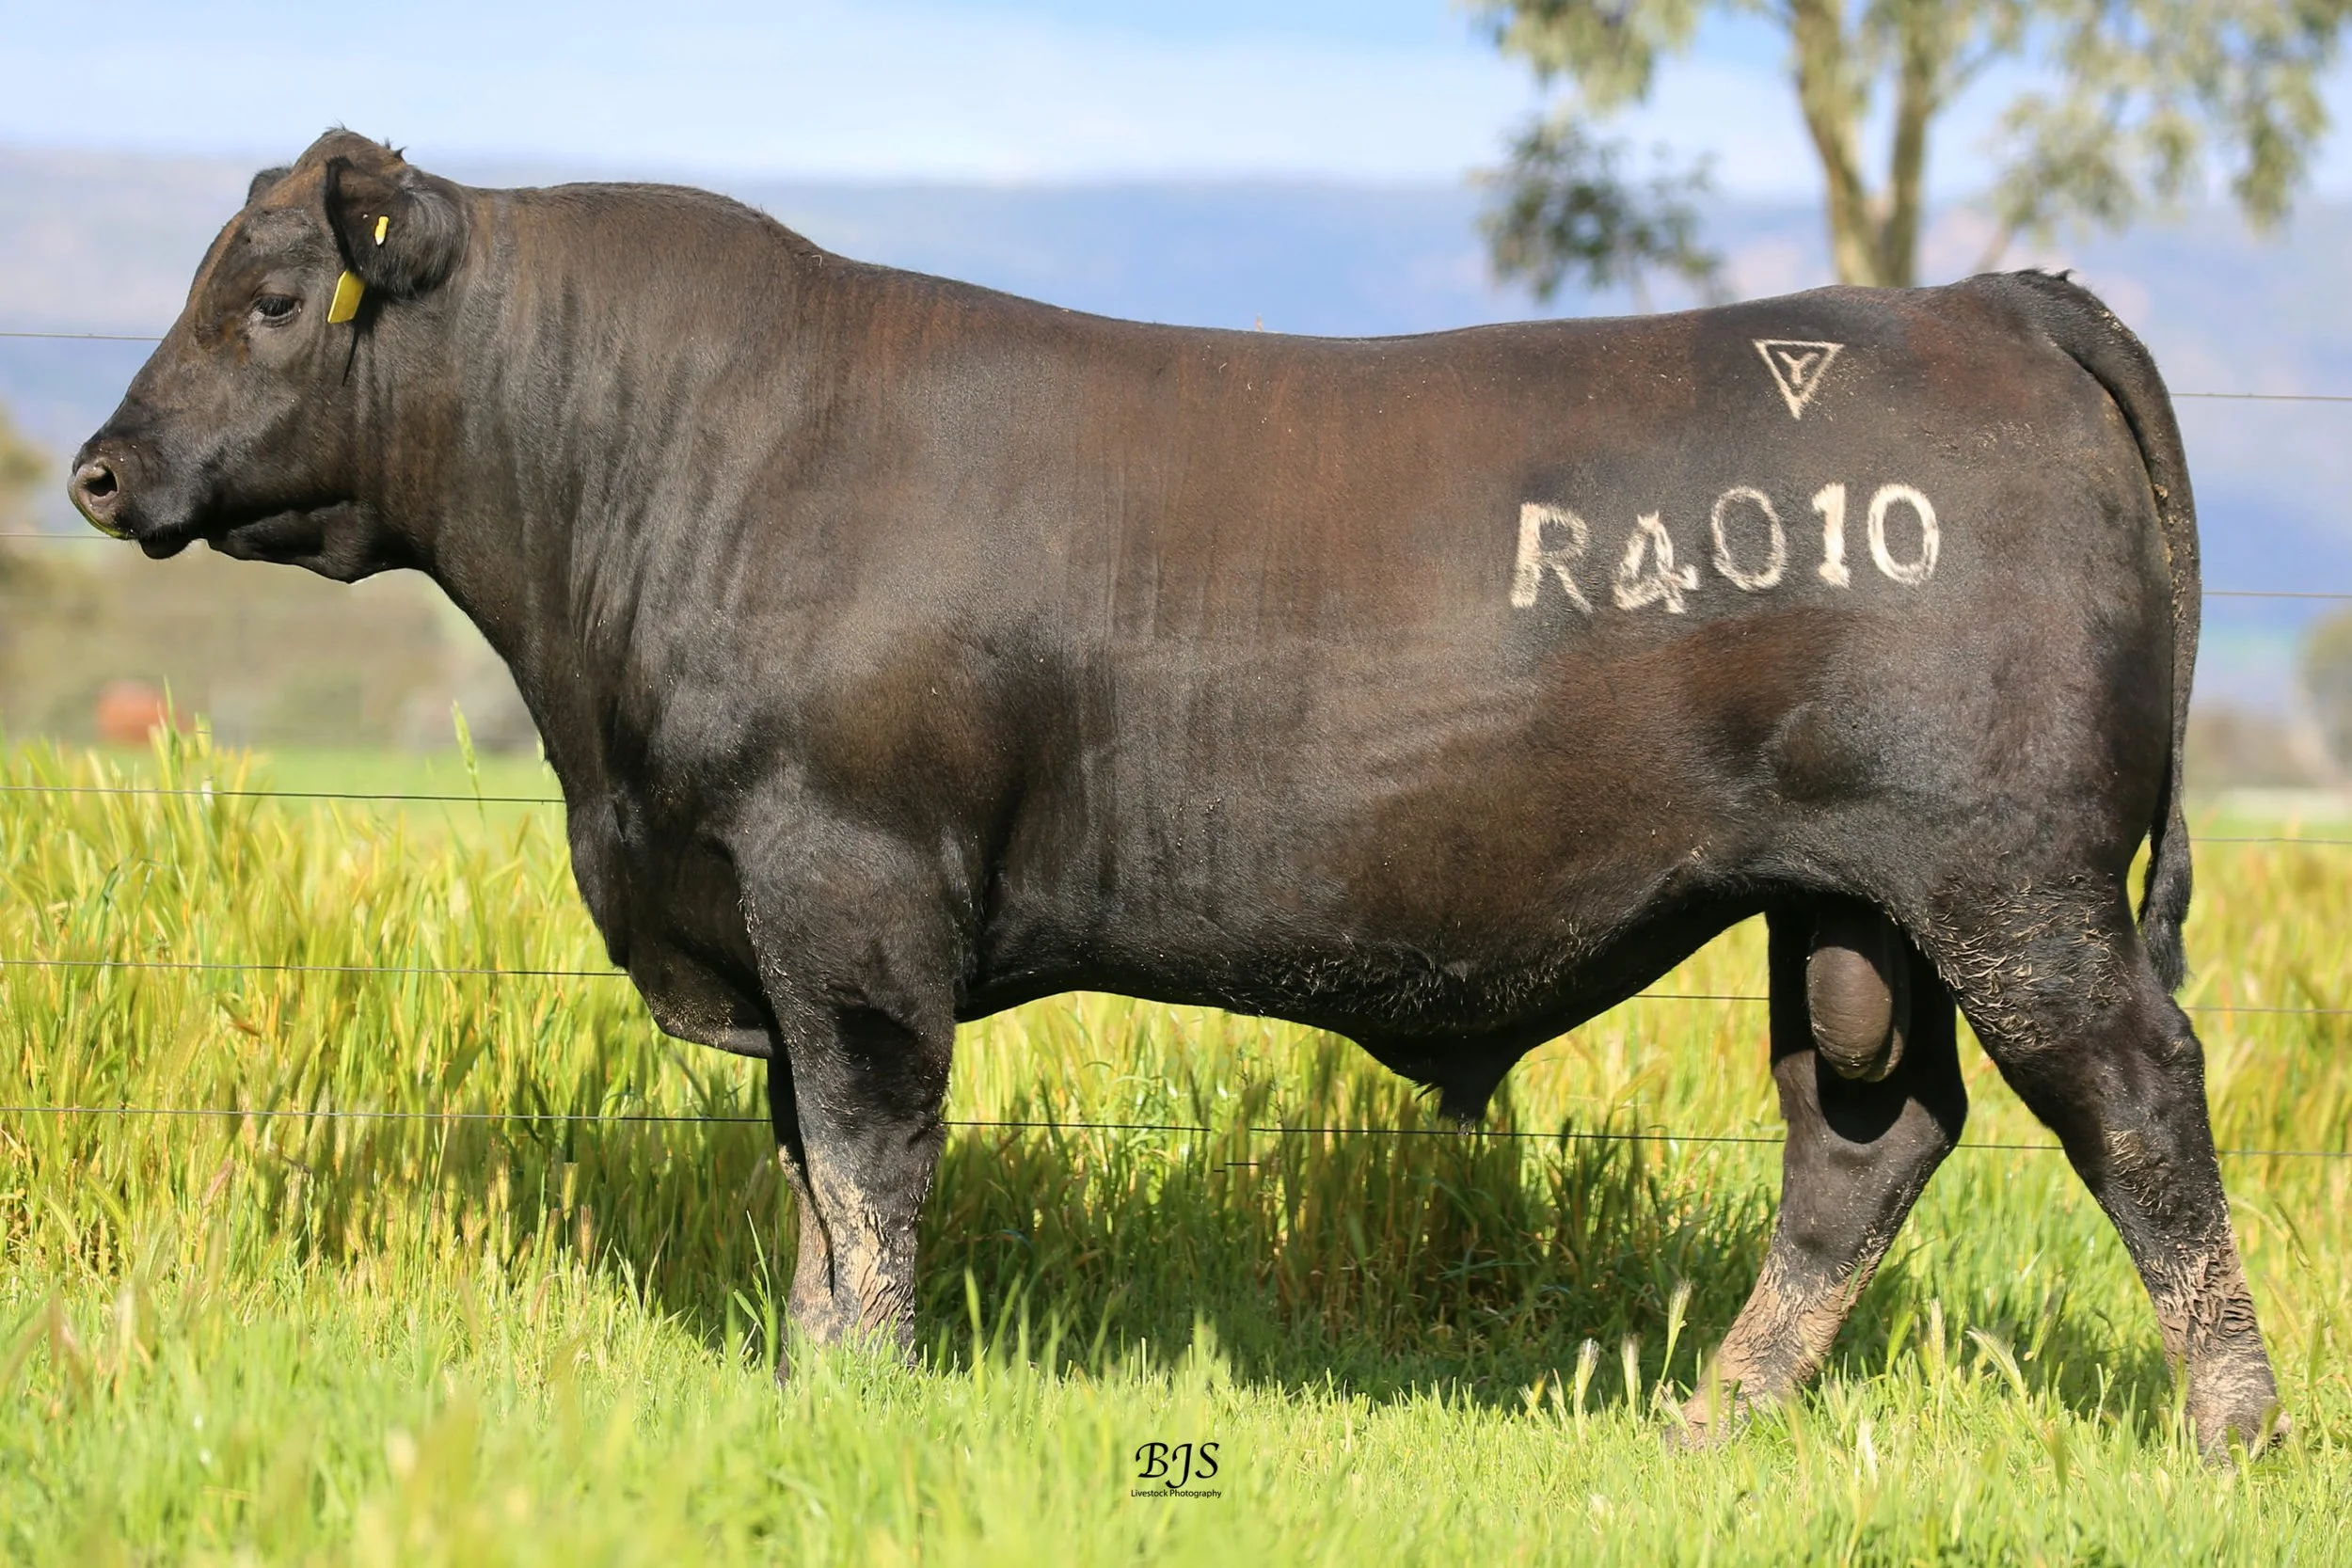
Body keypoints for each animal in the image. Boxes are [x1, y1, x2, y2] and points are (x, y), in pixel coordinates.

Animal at [70, 131, 2283, 1455]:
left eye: (268, 297)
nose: (95, 469)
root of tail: (1979, 300)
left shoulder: (844, 878)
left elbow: (866, 1160)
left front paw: (866, 1394)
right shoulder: (773, 910)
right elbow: (807, 1173)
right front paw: (807, 1391)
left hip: (2011, 878)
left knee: (2139, 1105)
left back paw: (2233, 1428)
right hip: (1845, 900)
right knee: (1864, 1137)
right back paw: (1703, 1428)